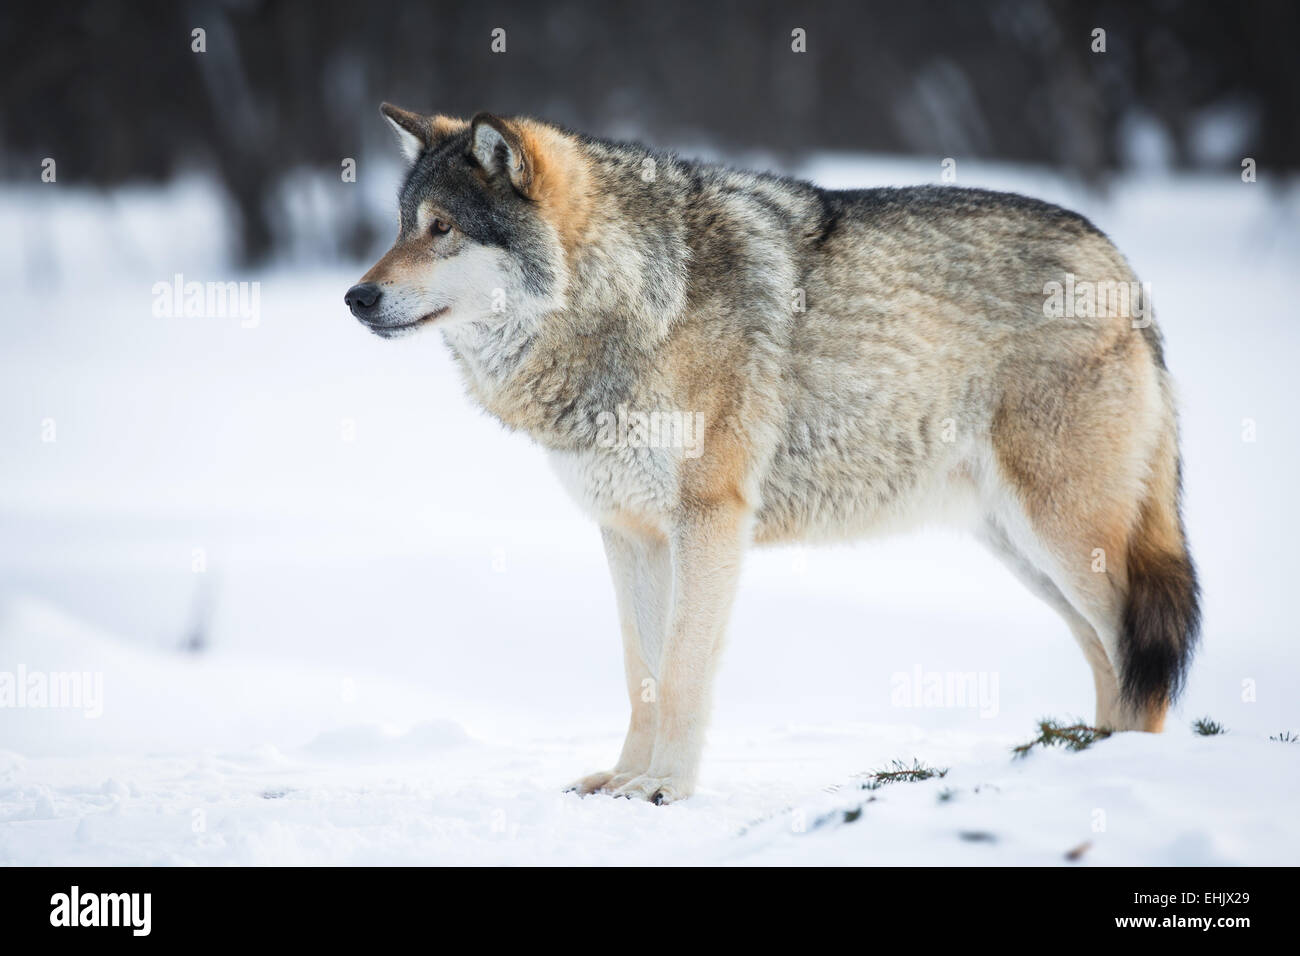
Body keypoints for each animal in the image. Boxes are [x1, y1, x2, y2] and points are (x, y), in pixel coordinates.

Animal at [346, 103, 1200, 804]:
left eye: (443, 229)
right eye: (400, 226)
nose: (356, 297)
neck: (628, 302)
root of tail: (1119, 260)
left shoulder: (709, 522)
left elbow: (682, 674)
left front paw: (664, 790)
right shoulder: (629, 534)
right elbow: (640, 675)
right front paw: (623, 781)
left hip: (1066, 538)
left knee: (1139, 656)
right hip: (1026, 551)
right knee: (1110, 661)